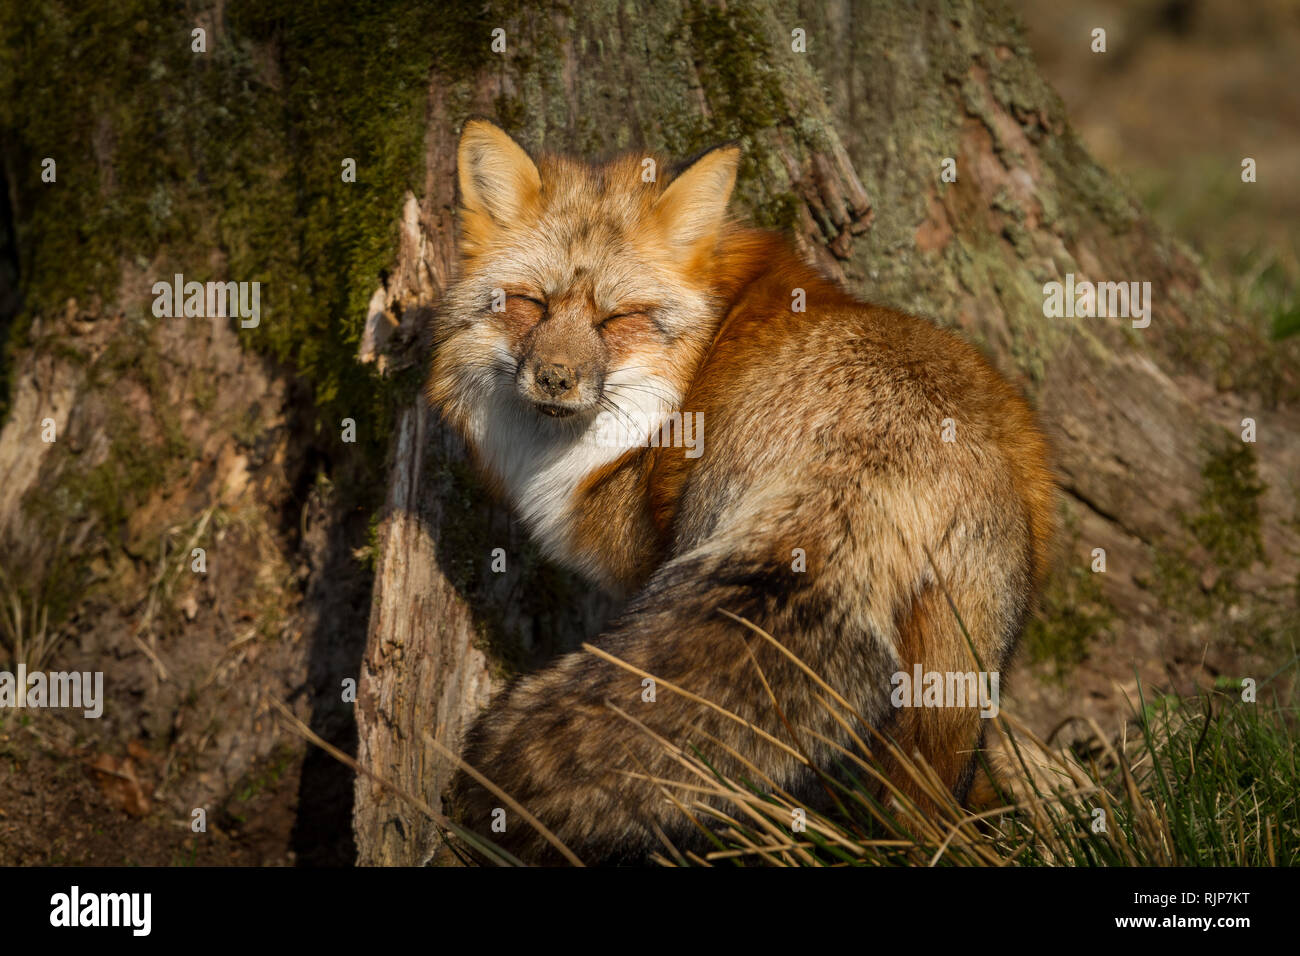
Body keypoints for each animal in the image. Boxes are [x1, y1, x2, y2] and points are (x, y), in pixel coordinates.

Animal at [428, 119, 1055, 865]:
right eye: (530, 304)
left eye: (618, 319)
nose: (554, 378)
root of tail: (879, 451)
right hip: (959, 680)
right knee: (923, 805)